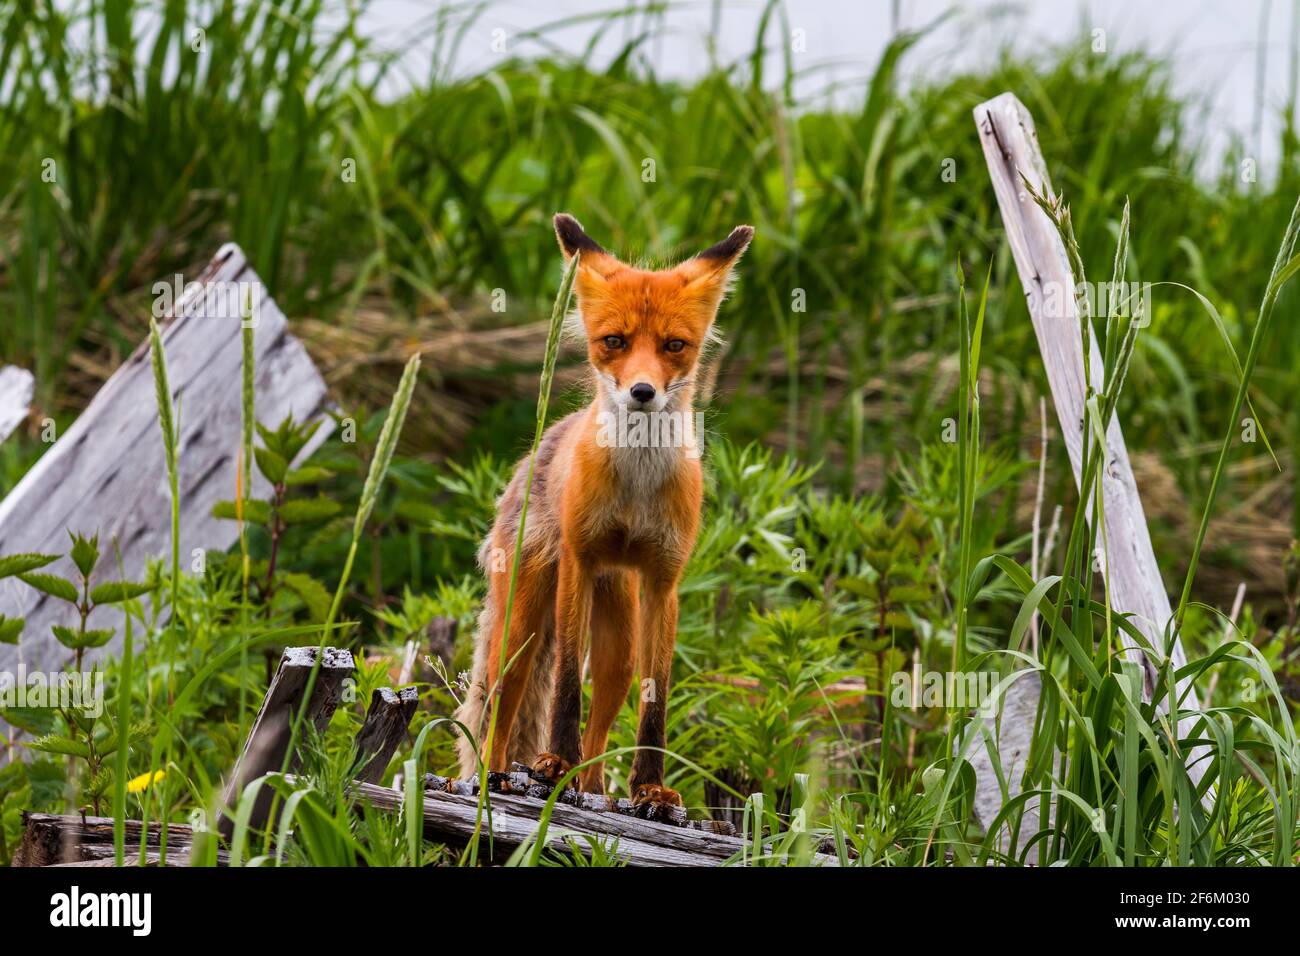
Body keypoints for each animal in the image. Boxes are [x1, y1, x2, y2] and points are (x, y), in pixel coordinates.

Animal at [454, 213, 753, 812]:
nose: (642, 391)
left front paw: (649, 789)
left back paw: (590, 786)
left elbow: (655, 700)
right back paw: (496, 777)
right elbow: (568, 683)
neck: (635, 490)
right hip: (522, 625)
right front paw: (552, 762)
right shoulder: (581, 561)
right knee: (503, 703)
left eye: (674, 345)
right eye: (614, 342)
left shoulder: (662, 582)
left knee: (606, 710)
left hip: (620, 634)